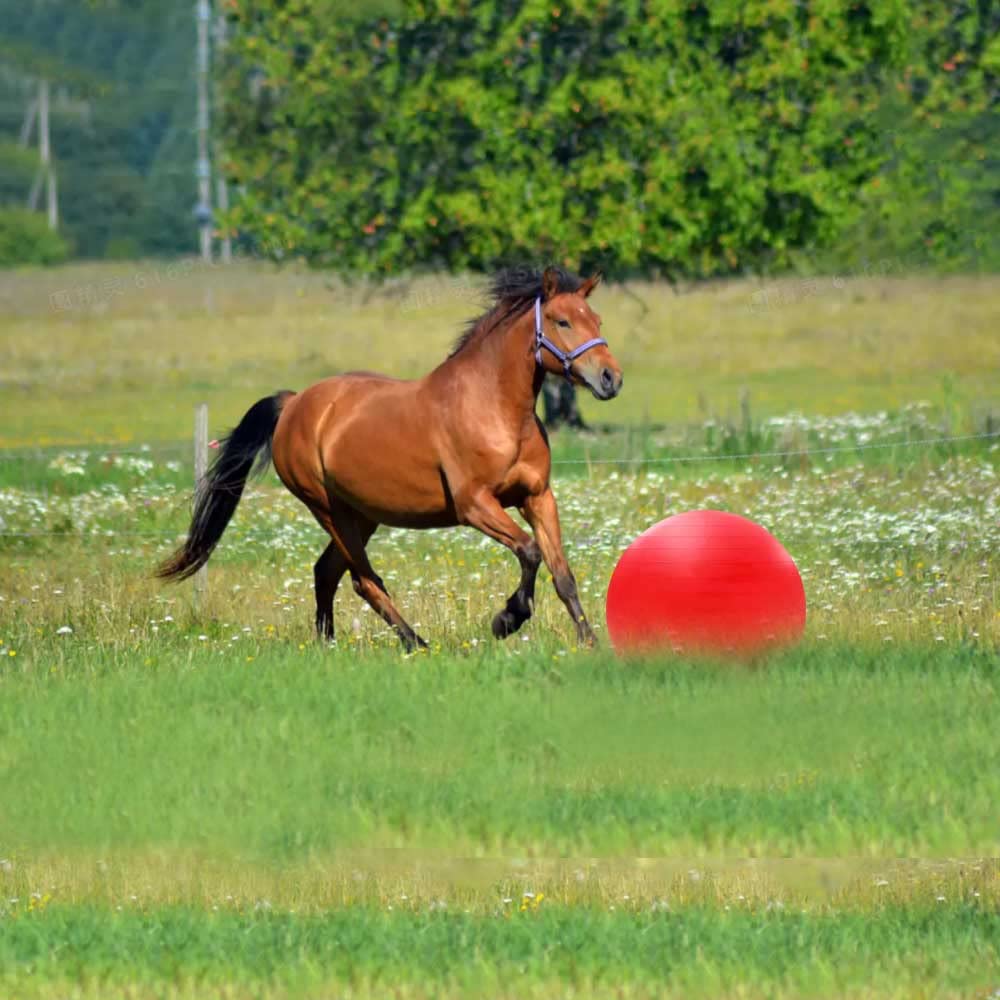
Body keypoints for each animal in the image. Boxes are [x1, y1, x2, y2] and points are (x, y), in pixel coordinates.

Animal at [156, 266, 620, 652]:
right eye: (562, 321)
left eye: (598, 321)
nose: (610, 379)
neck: (496, 409)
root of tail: (293, 403)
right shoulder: (474, 505)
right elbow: (529, 551)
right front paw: (507, 619)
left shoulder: (537, 497)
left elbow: (562, 573)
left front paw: (590, 642)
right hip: (329, 510)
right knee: (363, 580)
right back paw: (415, 643)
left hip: (363, 514)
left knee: (326, 572)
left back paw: (329, 645)